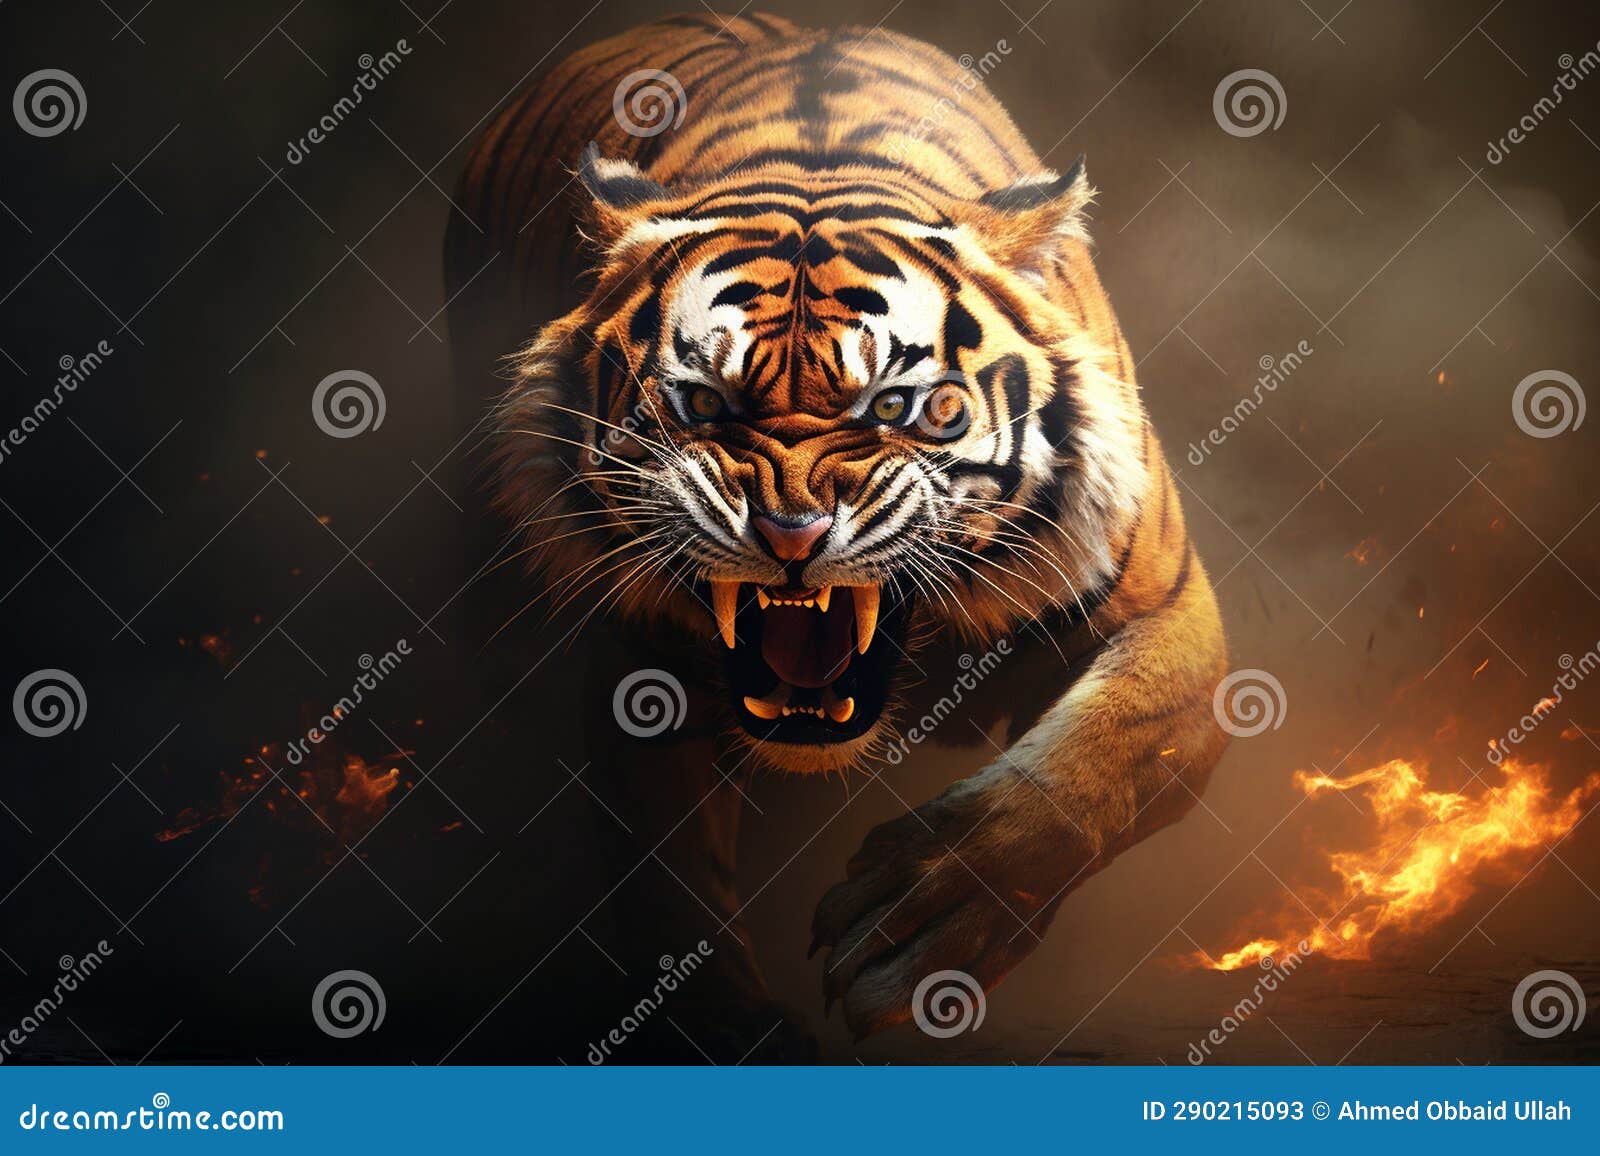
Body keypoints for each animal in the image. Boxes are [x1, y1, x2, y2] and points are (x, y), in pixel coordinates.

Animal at [445, 10, 1229, 1046]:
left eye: (897, 405)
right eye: (702, 402)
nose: (789, 533)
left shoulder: (1171, 610)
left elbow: (1101, 756)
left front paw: (927, 916)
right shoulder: (641, 661)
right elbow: (669, 876)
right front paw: (728, 1028)